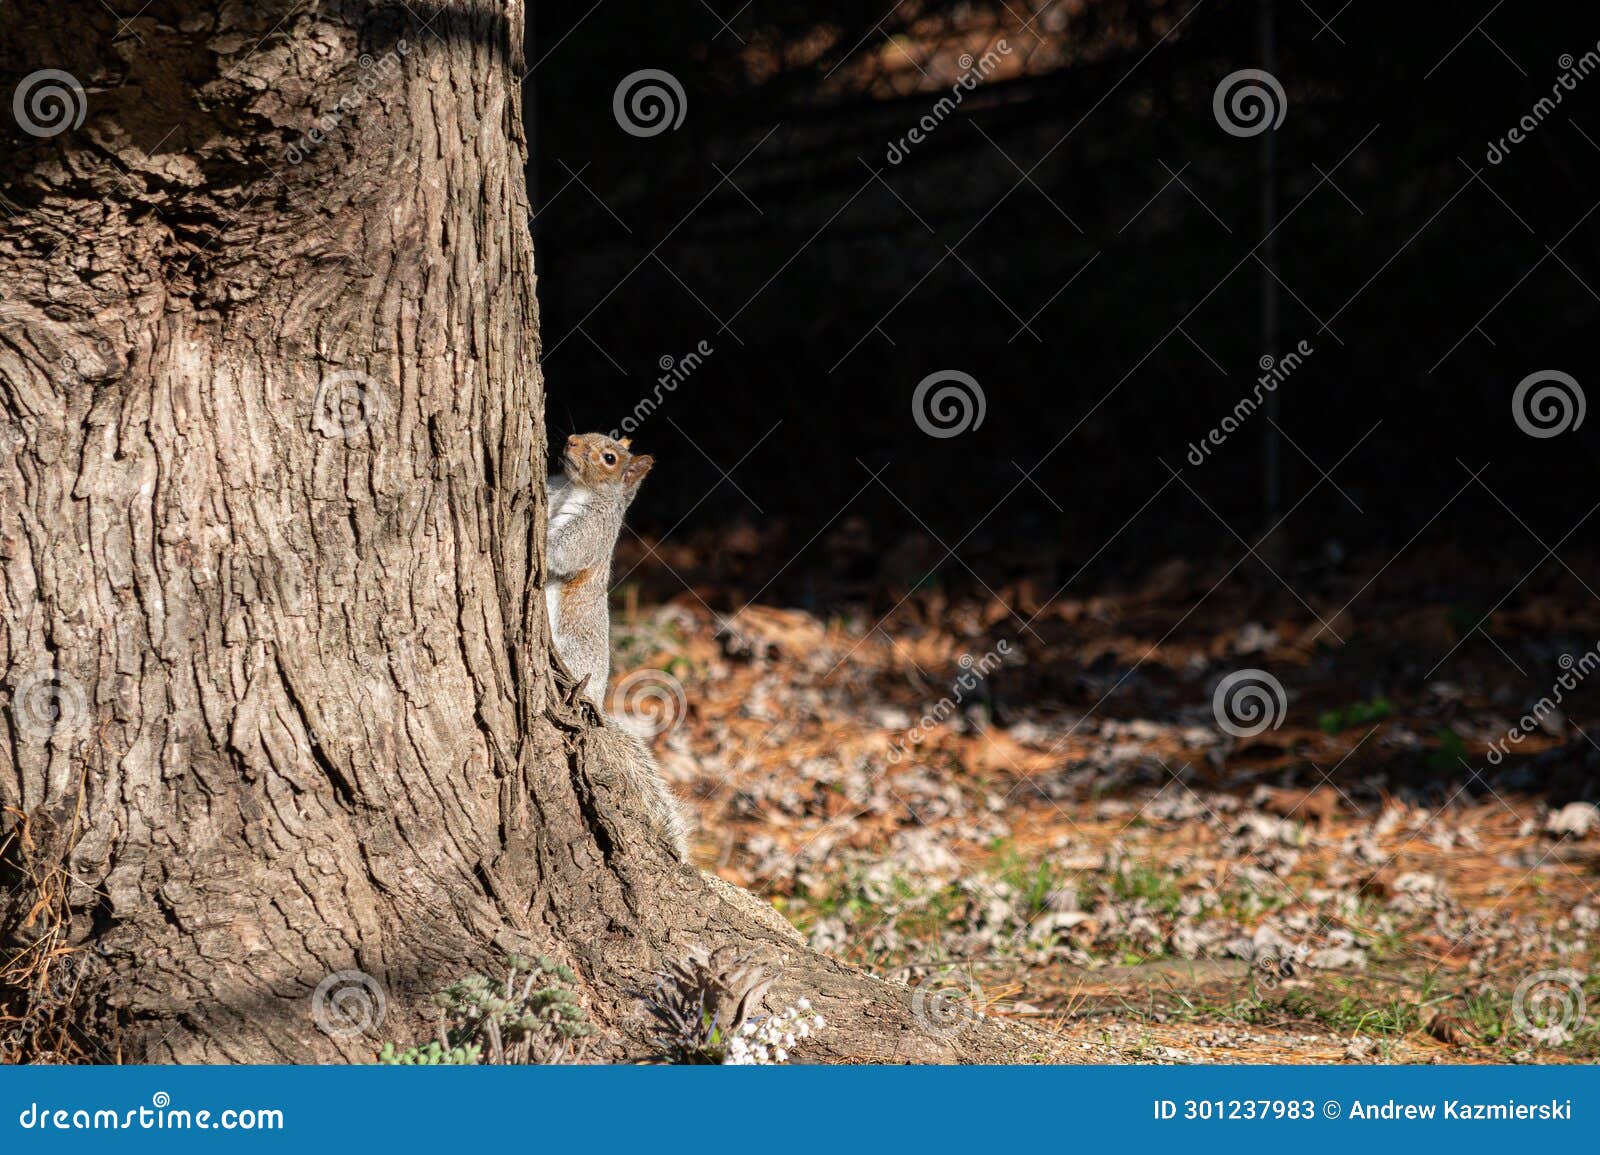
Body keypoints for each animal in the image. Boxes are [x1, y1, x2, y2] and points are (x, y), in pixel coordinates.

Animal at [545, 432, 690, 861]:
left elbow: (561, 552)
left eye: (609, 458)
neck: (574, 487)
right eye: (588, 433)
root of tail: (595, 699)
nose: (570, 441)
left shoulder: (591, 531)